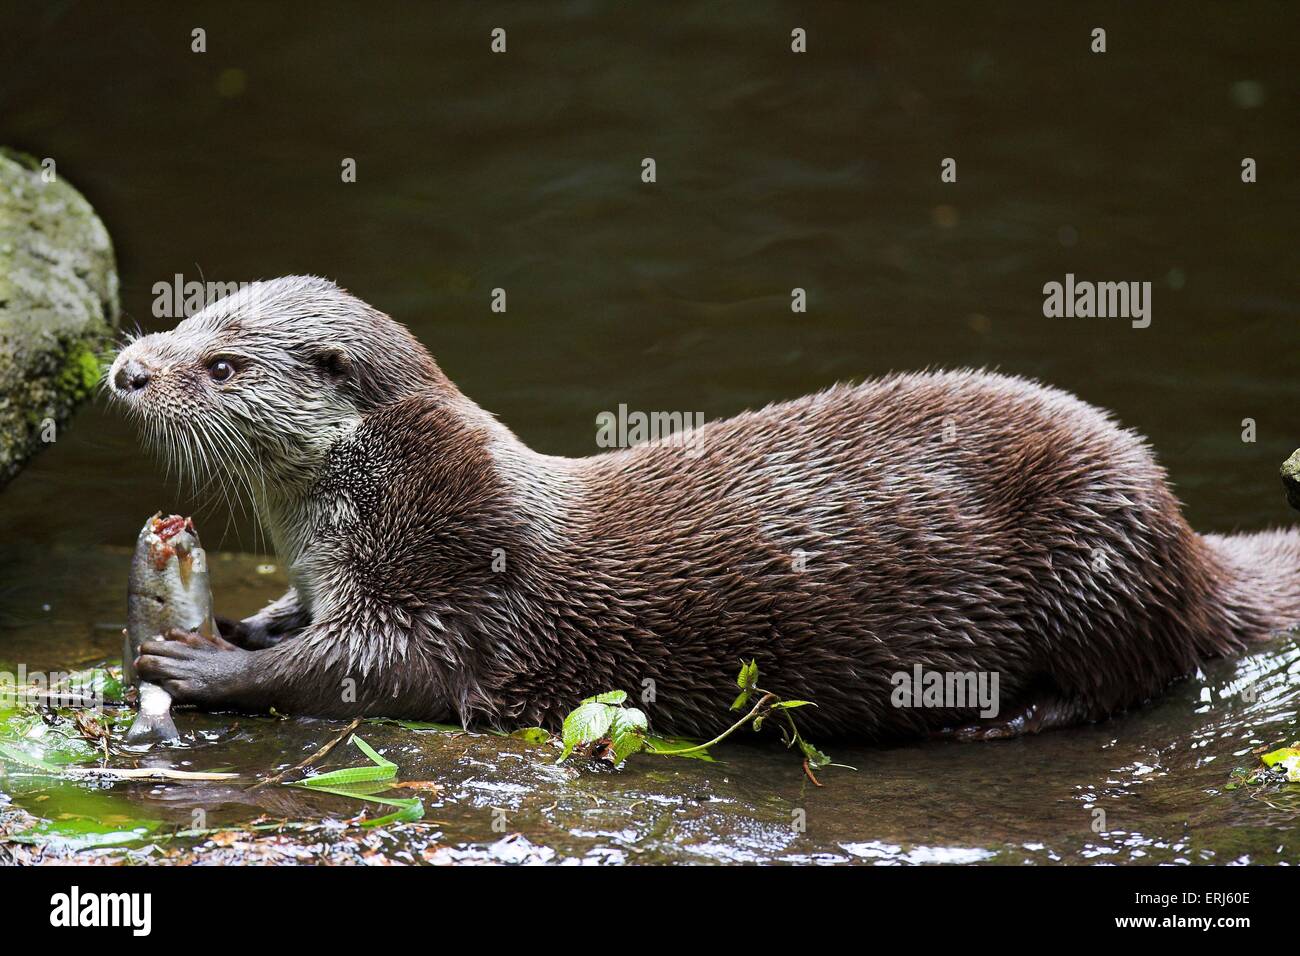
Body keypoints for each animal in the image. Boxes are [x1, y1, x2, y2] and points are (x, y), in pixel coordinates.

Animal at [106, 276, 1300, 741]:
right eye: (191, 316)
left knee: (1127, 675)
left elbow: (366, 666)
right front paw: (248, 619)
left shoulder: (445, 577)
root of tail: (1186, 539)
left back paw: (1002, 717)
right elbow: (305, 628)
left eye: (219, 363)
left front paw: (202, 660)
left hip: (1094, 548)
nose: (126, 369)